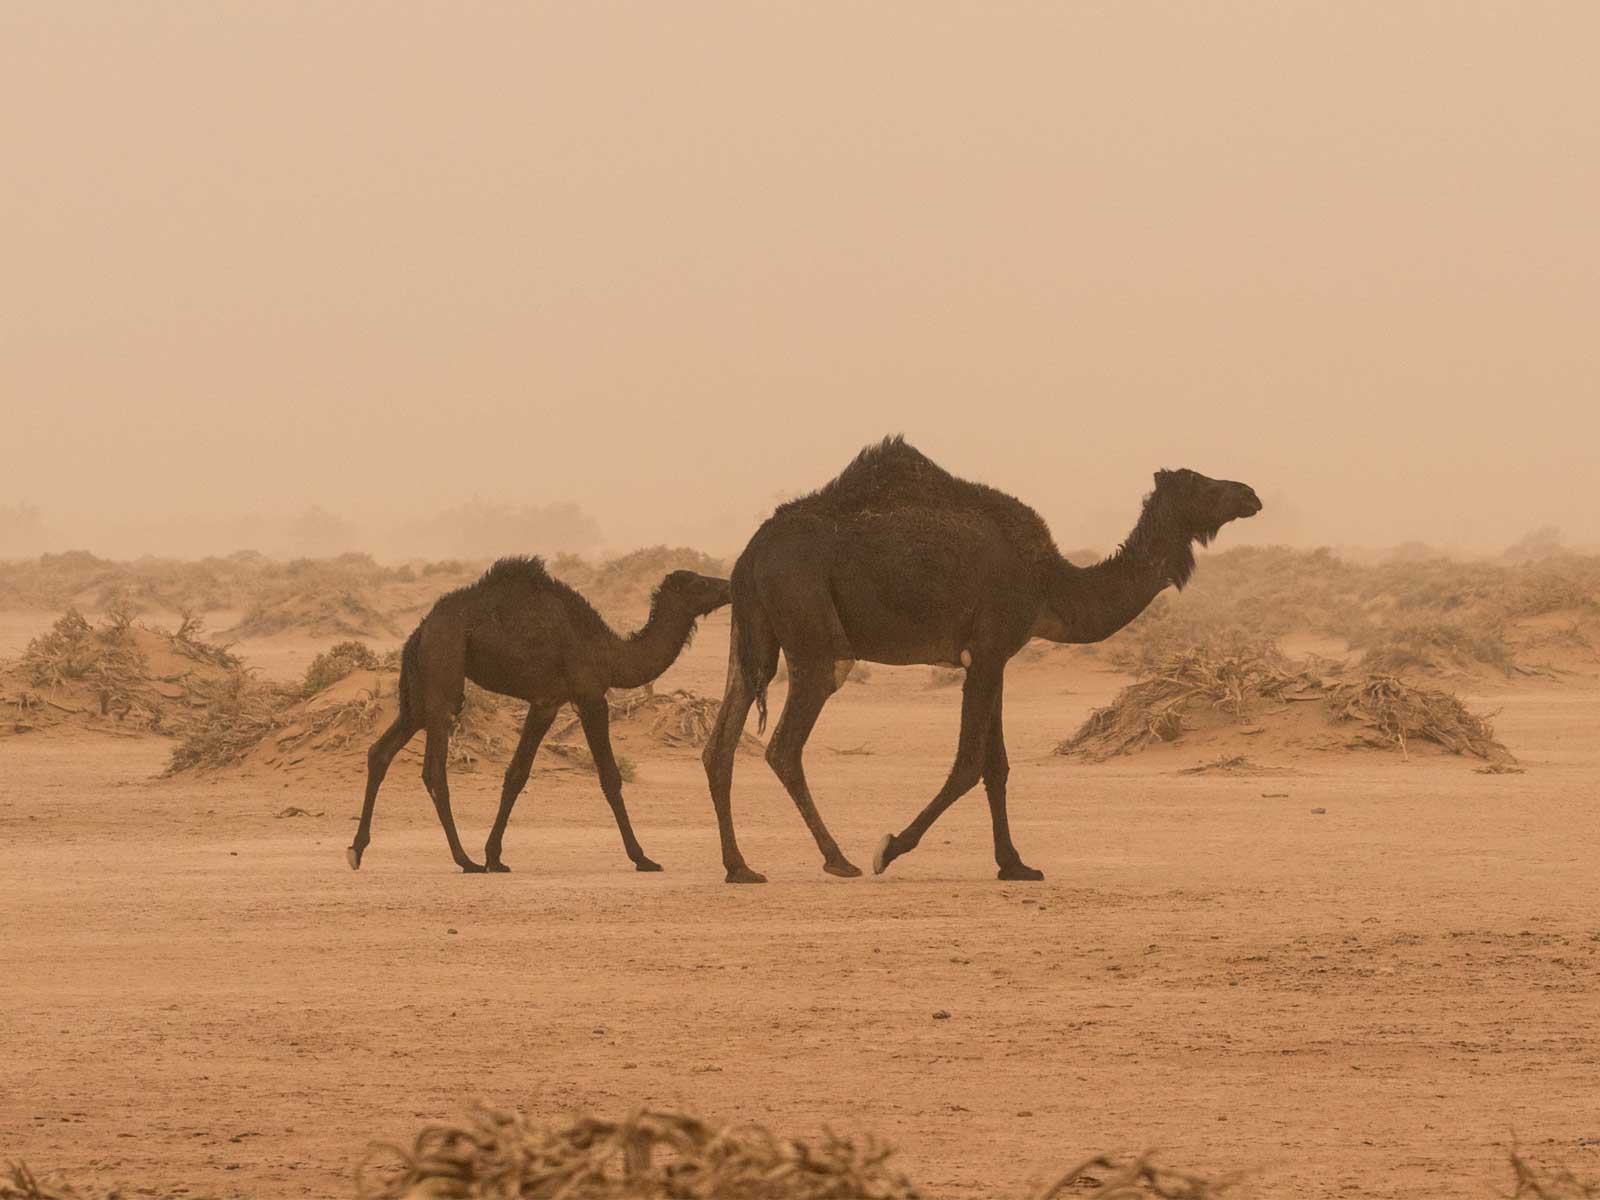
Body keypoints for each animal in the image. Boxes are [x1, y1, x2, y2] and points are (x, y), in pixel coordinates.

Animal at [349, 557, 730, 873]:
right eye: (700, 583)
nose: (728, 585)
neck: (610, 653)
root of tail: (420, 631)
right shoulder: (590, 697)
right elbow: (610, 777)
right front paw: (643, 858)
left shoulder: (546, 702)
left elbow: (516, 774)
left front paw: (495, 857)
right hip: (445, 668)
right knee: (433, 770)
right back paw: (464, 860)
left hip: (416, 693)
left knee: (381, 751)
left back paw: (357, 850)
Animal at [700, 436, 1261, 883]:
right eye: (1200, 483)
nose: (1249, 494)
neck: (1049, 583)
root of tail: (750, 553)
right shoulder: (987, 651)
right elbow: (970, 763)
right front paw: (890, 848)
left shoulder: (999, 657)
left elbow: (998, 765)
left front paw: (1015, 864)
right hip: (815, 632)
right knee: (784, 746)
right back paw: (838, 859)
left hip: (750, 638)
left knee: (720, 743)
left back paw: (740, 867)